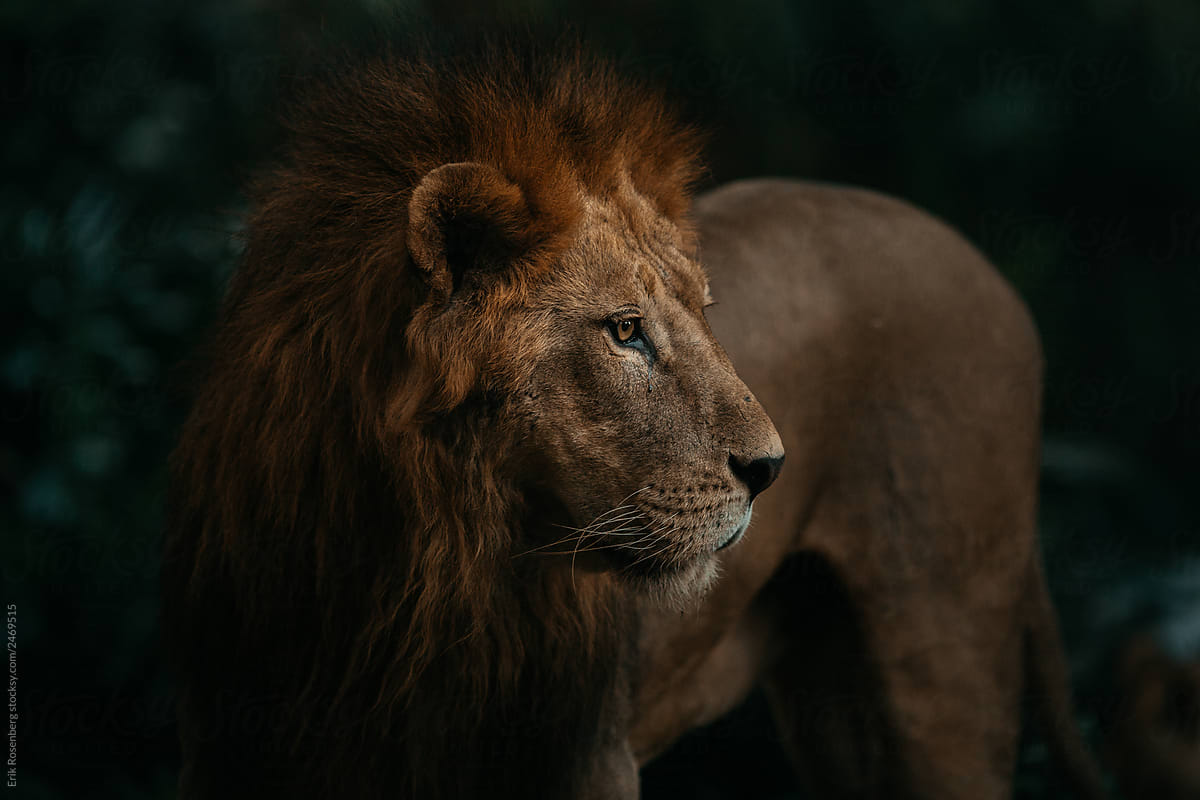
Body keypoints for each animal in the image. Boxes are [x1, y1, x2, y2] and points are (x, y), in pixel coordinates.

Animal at [162, 45, 1107, 798]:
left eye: (701, 311)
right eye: (625, 331)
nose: (771, 468)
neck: (421, 557)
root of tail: (985, 267)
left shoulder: (581, 761)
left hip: (941, 661)